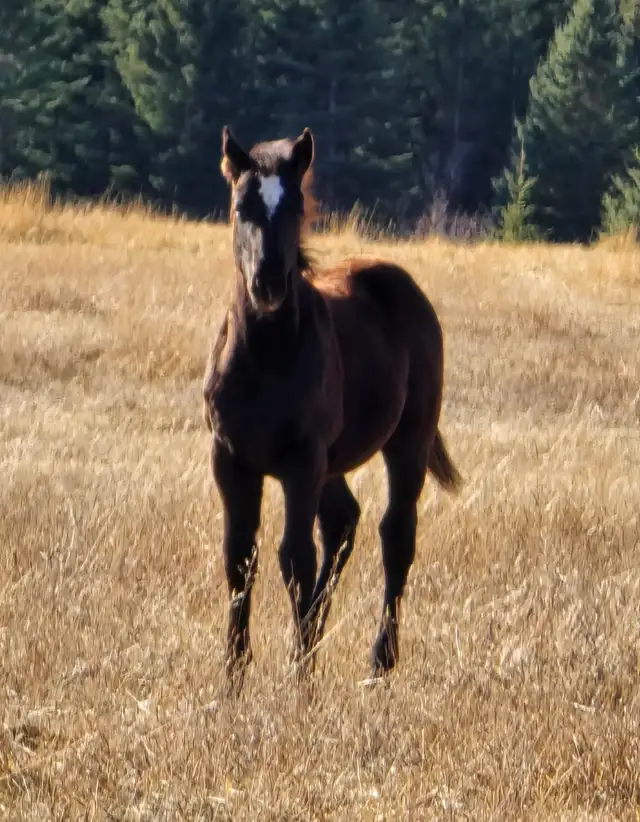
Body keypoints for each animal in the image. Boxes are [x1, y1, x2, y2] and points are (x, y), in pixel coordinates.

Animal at [202, 126, 461, 686]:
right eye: (241, 206)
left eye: (296, 206)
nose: (269, 284)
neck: (266, 359)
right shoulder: (230, 458)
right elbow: (239, 557)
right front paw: (234, 676)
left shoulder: (302, 460)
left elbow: (294, 559)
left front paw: (301, 680)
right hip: (332, 464)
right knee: (344, 521)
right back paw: (315, 637)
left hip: (405, 443)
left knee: (395, 535)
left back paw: (378, 661)